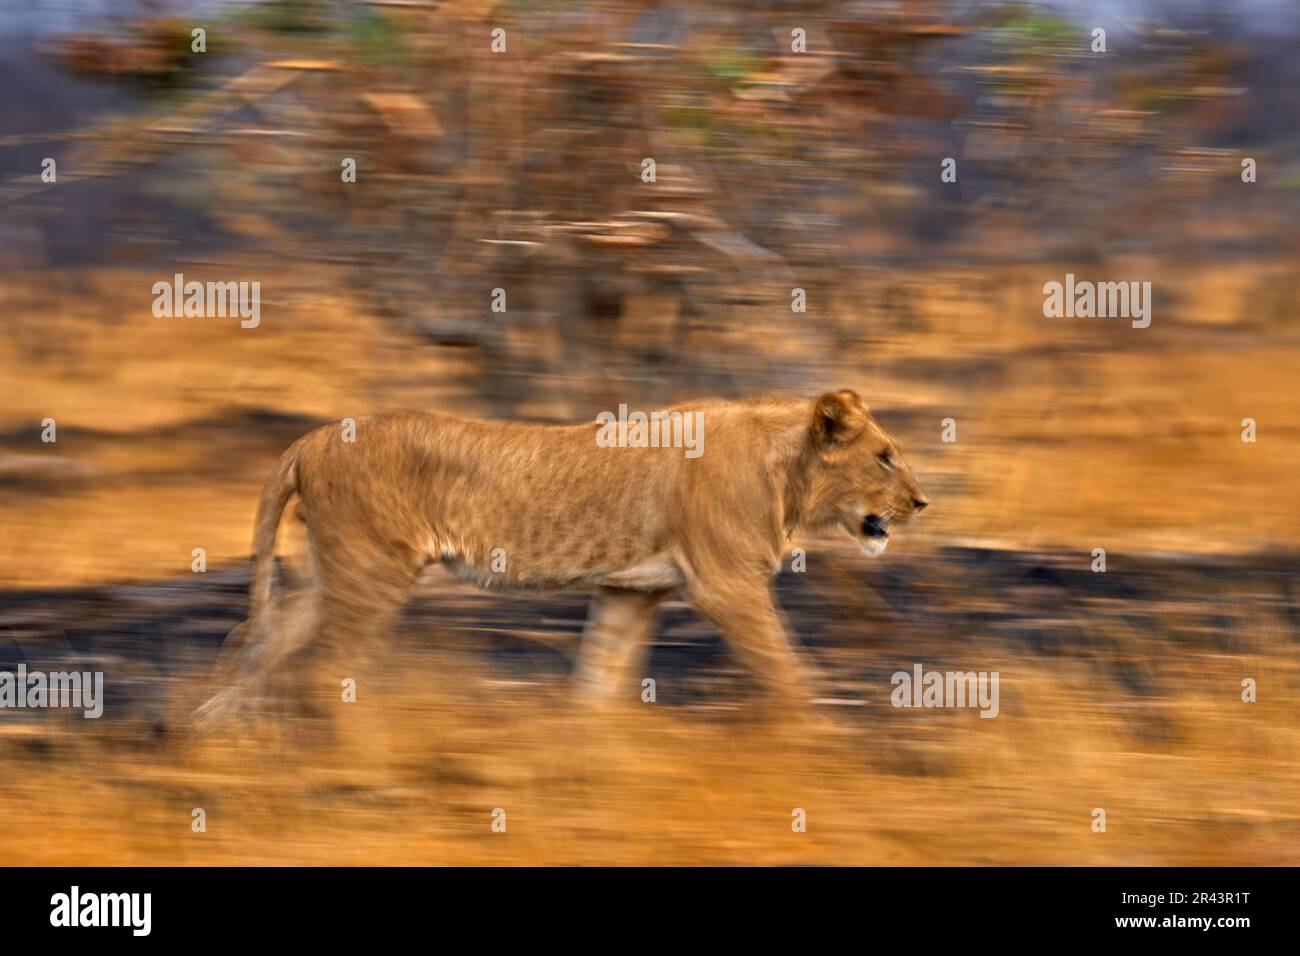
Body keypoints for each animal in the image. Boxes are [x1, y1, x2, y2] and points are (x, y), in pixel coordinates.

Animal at [196, 389, 927, 720]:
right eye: (885, 457)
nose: (922, 503)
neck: (789, 476)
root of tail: (312, 437)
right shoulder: (728, 585)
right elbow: (789, 675)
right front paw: (821, 756)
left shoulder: (631, 590)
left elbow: (597, 682)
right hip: (373, 569)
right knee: (326, 672)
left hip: (336, 571)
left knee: (259, 640)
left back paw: (216, 743)